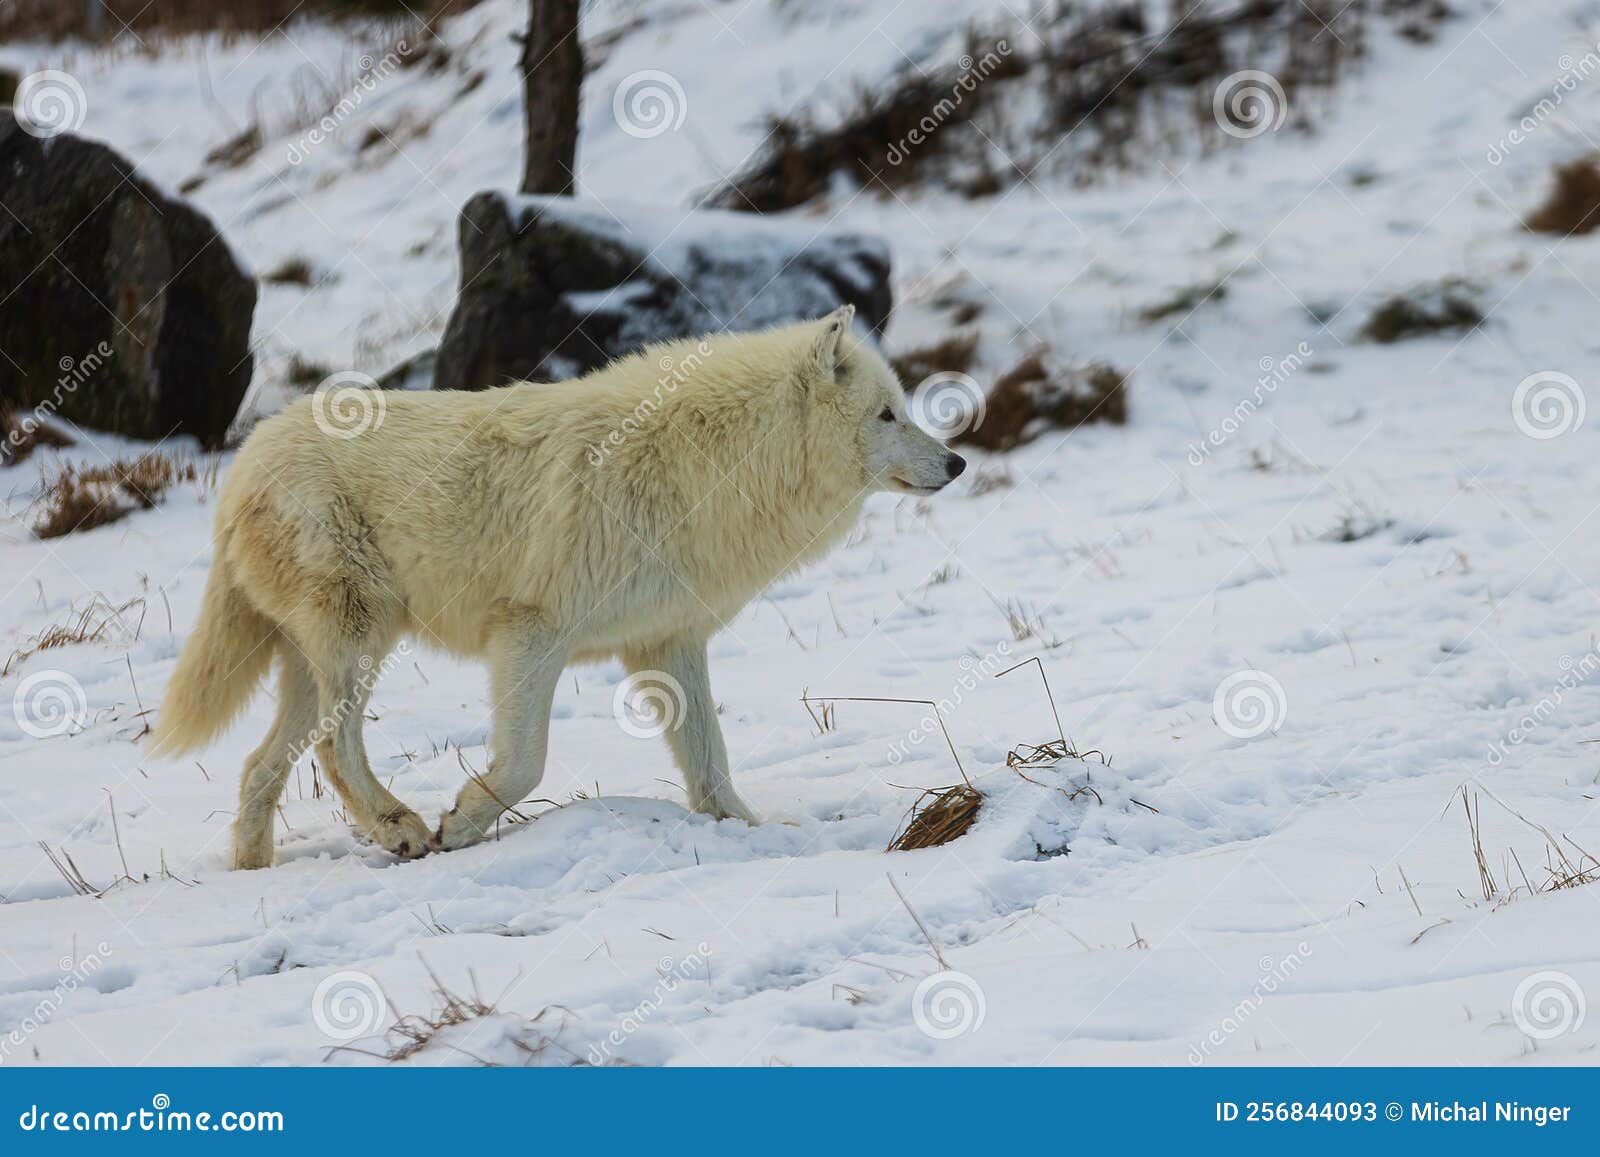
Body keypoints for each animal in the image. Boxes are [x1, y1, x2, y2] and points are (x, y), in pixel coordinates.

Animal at [151, 306, 966, 868]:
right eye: (888, 414)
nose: (957, 463)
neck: (705, 466)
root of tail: (246, 459)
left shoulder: (667, 641)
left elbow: (711, 764)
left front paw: (749, 833)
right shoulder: (530, 632)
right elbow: (524, 763)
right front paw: (463, 820)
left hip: (314, 658)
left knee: (263, 764)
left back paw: (256, 868)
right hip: (361, 637)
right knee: (332, 745)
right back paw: (400, 827)